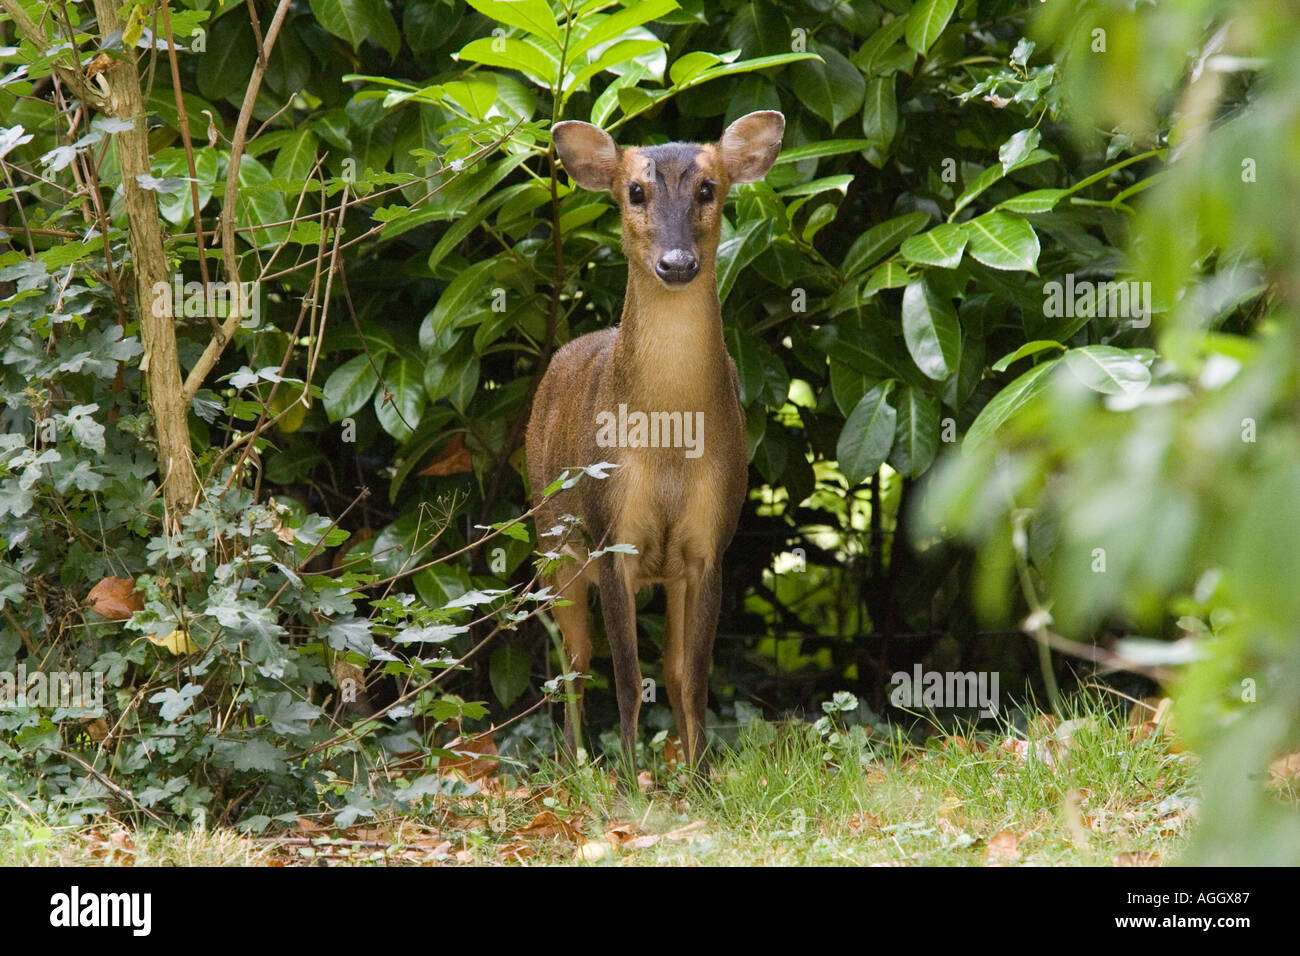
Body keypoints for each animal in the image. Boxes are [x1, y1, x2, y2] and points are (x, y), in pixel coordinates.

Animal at [525, 111, 786, 772]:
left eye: (708, 188)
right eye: (635, 191)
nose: (676, 262)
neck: (669, 441)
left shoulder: (709, 542)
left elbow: (688, 676)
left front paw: (699, 778)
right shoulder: (611, 532)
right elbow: (623, 676)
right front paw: (627, 778)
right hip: (552, 539)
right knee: (569, 664)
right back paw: (574, 767)